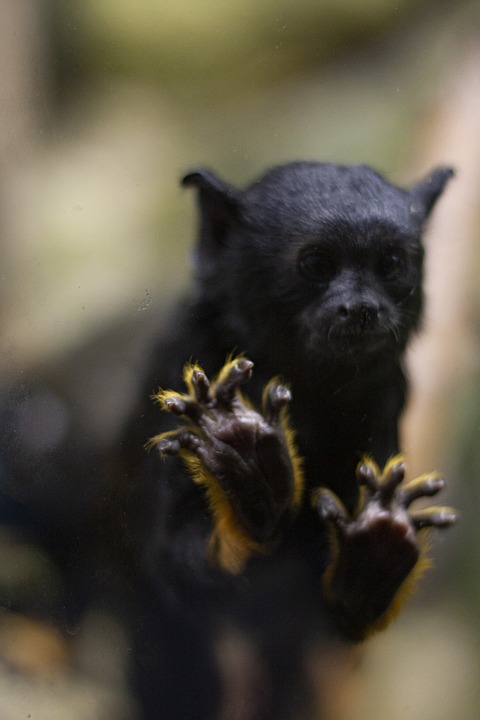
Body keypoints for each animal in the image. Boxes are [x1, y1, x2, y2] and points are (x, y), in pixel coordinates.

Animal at [122, 162, 457, 720]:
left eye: (390, 264)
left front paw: (374, 555)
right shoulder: (183, 369)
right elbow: (181, 569)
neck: (309, 391)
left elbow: (335, 623)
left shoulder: (386, 404)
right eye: (317, 265)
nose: (360, 308)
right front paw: (252, 476)